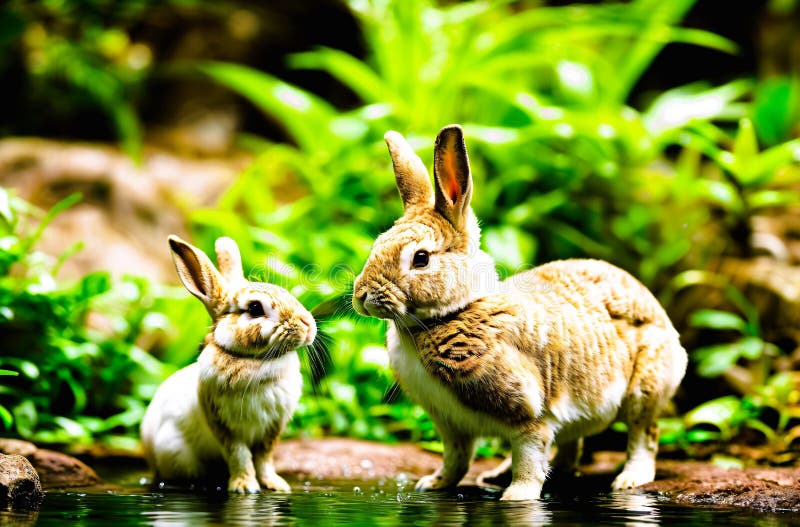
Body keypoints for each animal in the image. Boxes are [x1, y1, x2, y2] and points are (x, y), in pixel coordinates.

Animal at [140, 235, 316, 494]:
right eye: (255, 307)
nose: (308, 324)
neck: (254, 361)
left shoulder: (273, 428)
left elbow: (264, 459)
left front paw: (276, 485)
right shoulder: (223, 425)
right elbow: (240, 455)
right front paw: (244, 487)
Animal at [352, 125, 687, 501]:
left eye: (421, 258)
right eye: (378, 244)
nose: (362, 295)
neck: (451, 313)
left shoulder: (527, 415)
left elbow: (529, 456)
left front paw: (517, 497)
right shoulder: (451, 425)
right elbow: (456, 461)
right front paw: (433, 484)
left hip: (643, 391)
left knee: (644, 436)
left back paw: (628, 480)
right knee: (571, 447)